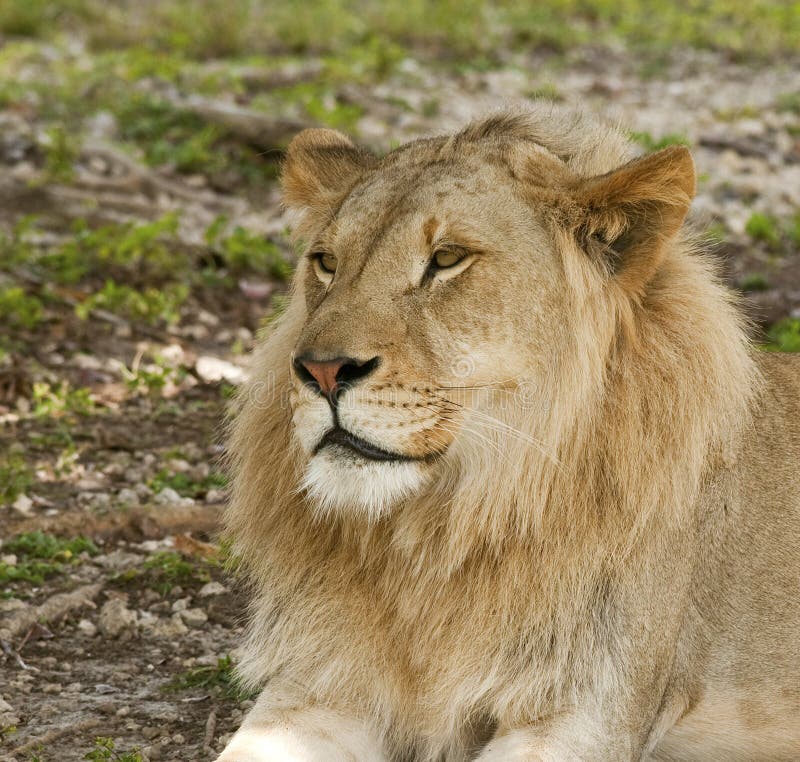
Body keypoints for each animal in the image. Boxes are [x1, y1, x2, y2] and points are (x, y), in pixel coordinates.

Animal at [216, 105, 800, 762]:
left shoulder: (582, 715)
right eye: (326, 263)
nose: (320, 371)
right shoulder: (317, 684)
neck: (438, 534)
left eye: (446, 259)